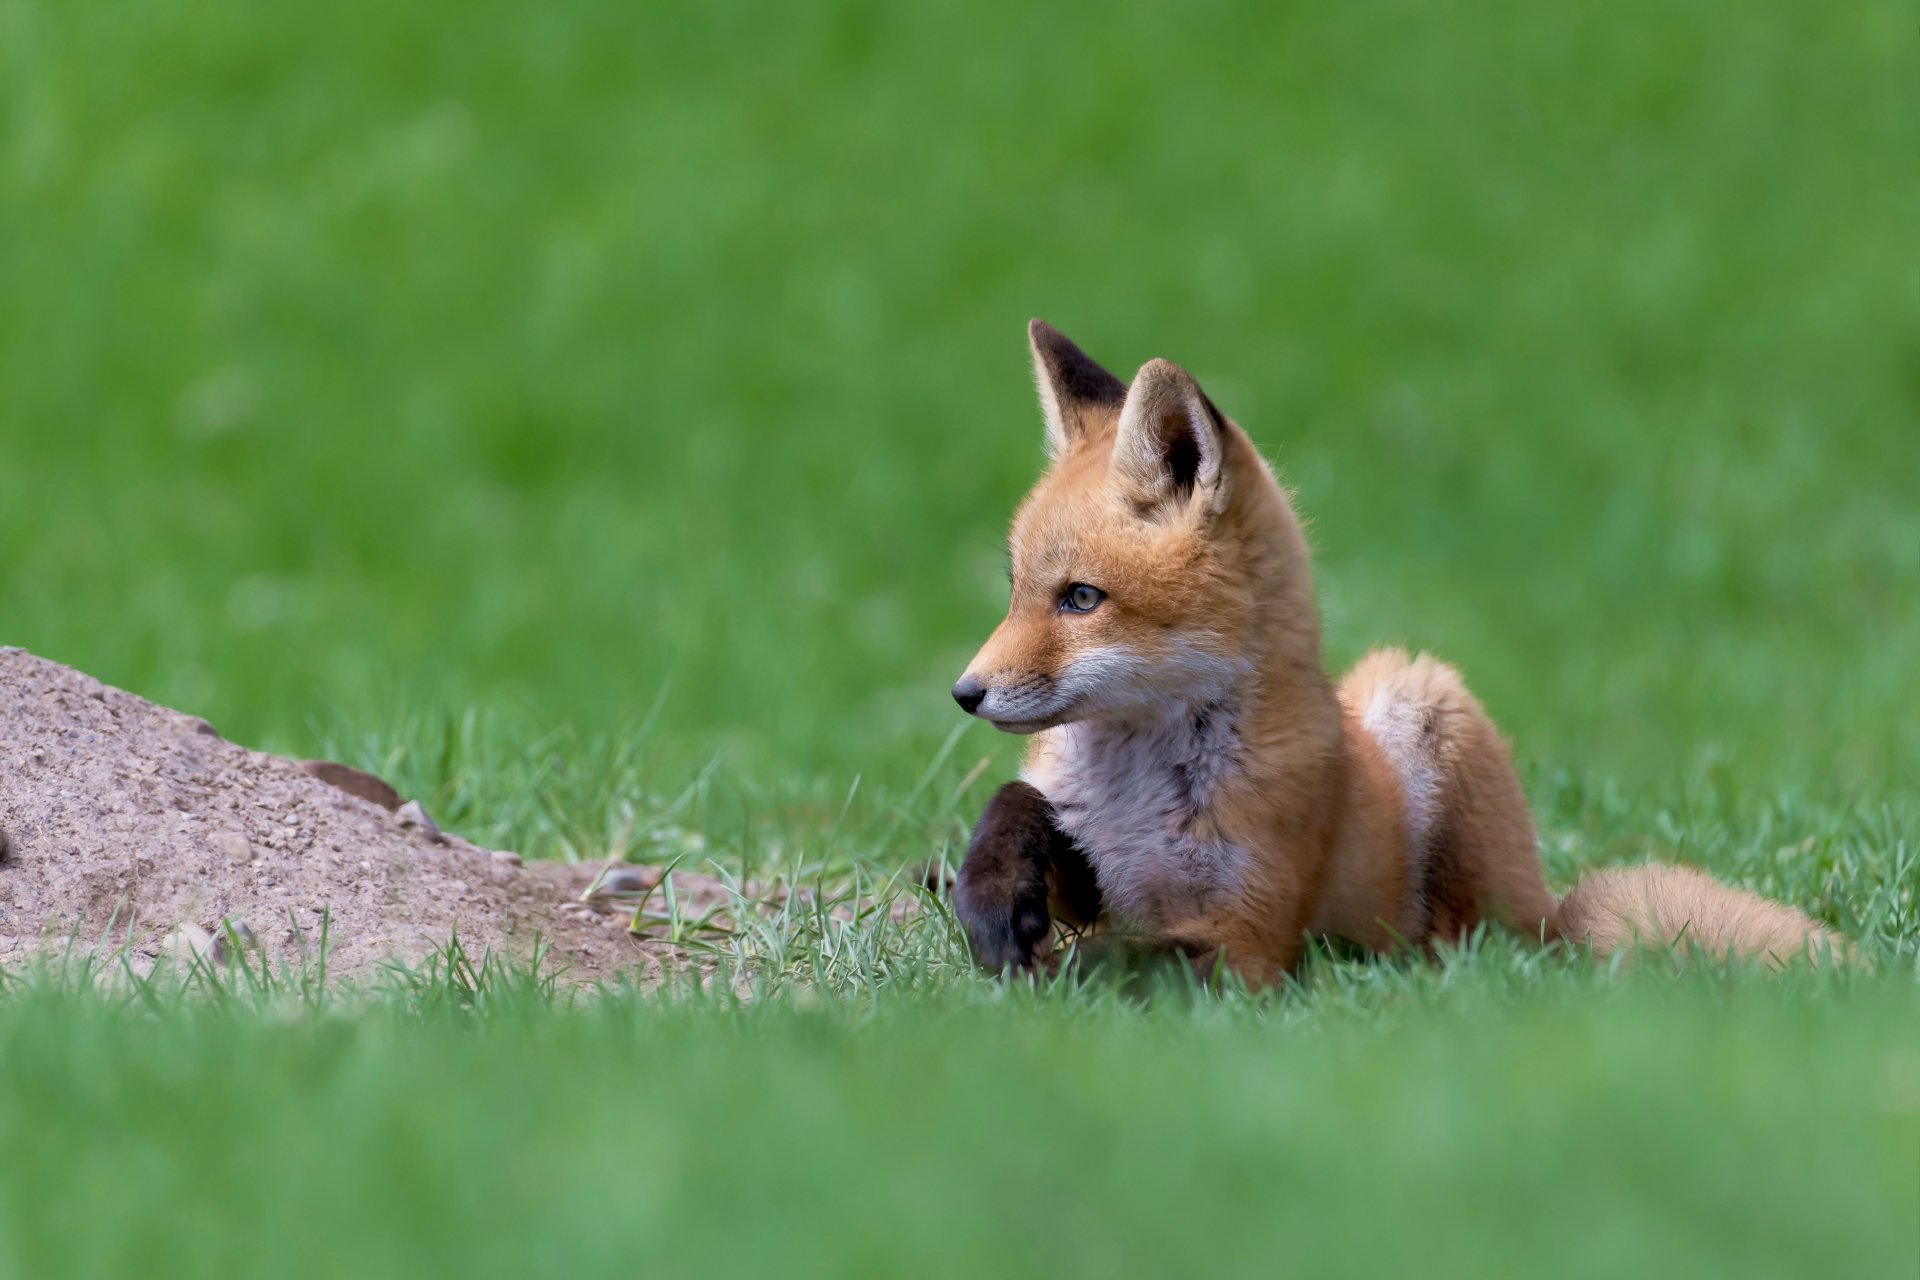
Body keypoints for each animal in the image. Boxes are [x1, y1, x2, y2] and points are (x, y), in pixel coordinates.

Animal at [949, 319, 1846, 986]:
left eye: (1081, 599)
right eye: (1017, 591)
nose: (966, 692)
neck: (1136, 790)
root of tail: (1552, 908)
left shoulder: (1245, 937)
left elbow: (1129, 956)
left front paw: (1051, 972)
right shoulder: (1093, 864)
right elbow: (1018, 804)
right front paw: (993, 902)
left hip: (1417, 697)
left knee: (1458, 946)